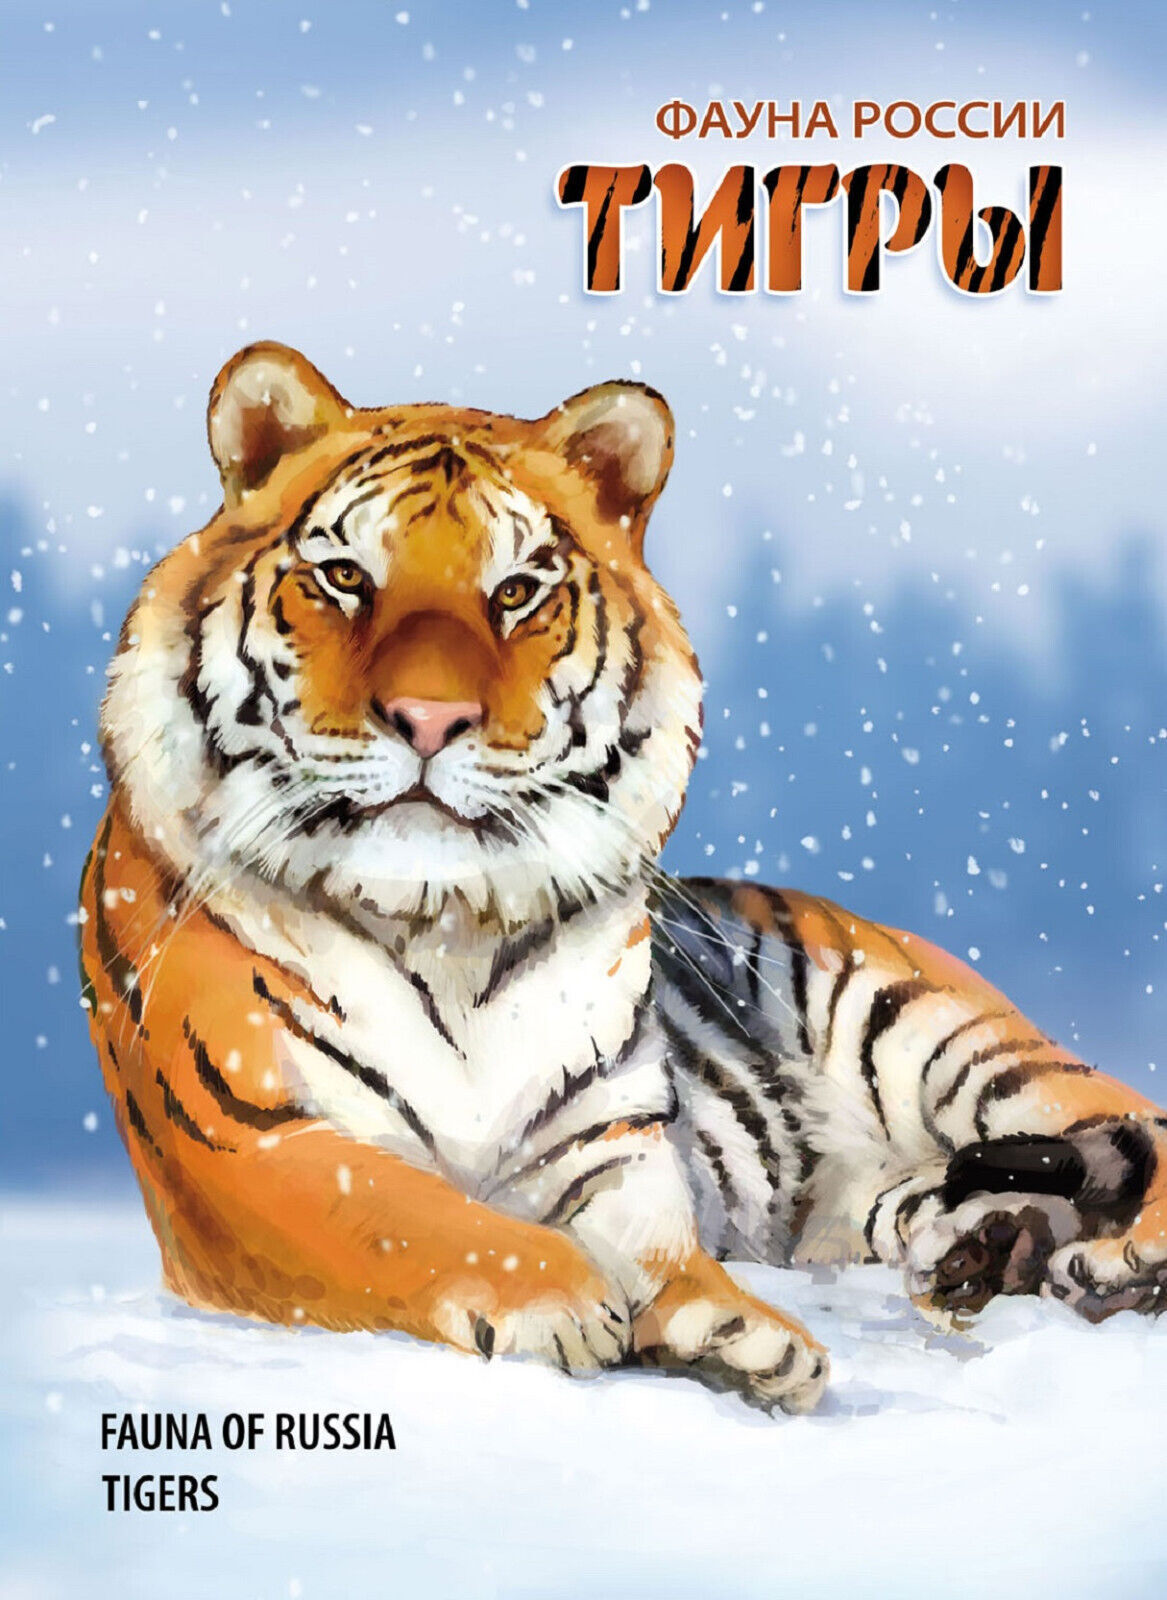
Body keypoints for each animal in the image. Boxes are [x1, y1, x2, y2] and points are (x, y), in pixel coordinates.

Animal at [79, 341, 1167, 1415]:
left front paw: (733, 1328)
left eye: (516, 591)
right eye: (344, 576)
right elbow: (408, 1211)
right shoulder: (249, 1138)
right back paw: (989, 1248)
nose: (430, 719)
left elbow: (657, 1244)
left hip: (943, 1038)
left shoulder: (609, 1138)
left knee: (1127, 1117)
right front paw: (586, 1305)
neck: (442, 926)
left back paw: (1120, 1259)